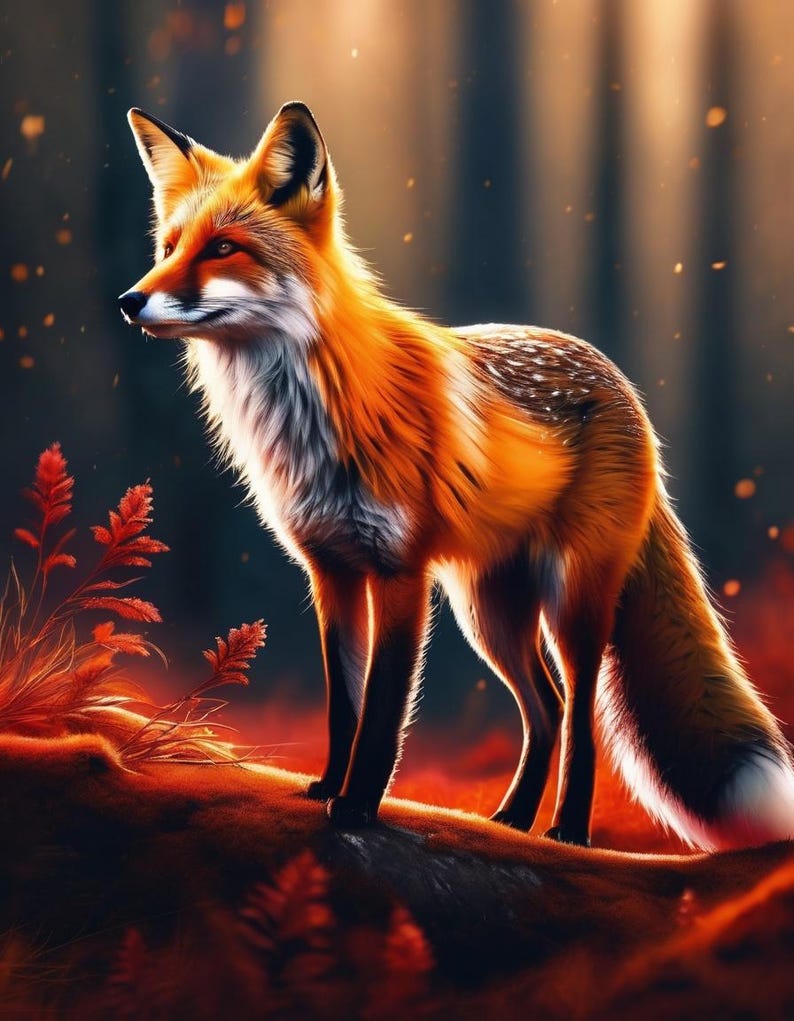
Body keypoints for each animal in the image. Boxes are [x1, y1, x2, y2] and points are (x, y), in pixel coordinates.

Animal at [119, 100, 794, 850]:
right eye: (169, 247)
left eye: (222, 249)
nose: (129, 300)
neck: (313, 415)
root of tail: (623, 385)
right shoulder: (331, 572)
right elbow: (344, 707)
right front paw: (326, 788)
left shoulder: (400, 571)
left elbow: (383, 713)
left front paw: (357, 808)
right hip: (489, 612)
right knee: (546, 709)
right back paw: (514, 819)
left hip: (572, 601)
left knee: (581, 714)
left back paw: (567, 829)